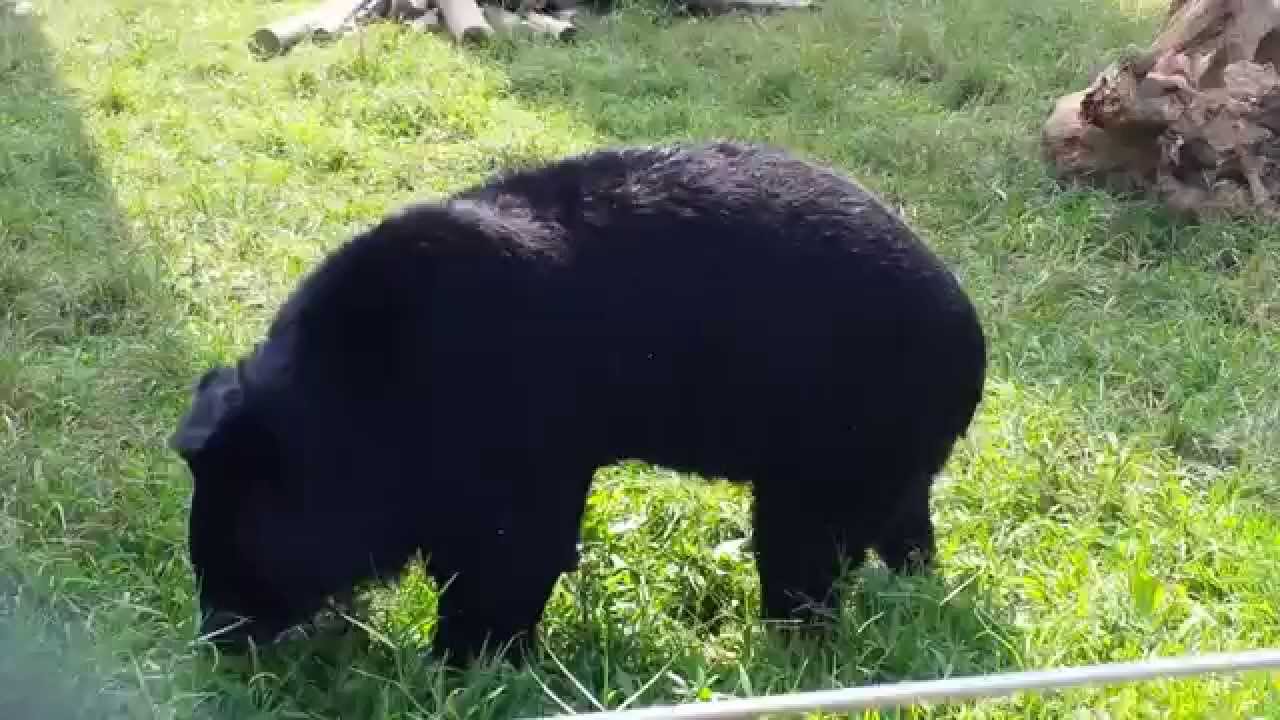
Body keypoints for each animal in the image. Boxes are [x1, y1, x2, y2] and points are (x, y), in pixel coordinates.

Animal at [169, 140, 987, 667]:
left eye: (244, 557)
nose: (218, 640)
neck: (366, 390)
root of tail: (971, 336)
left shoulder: (509, 425)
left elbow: (509, 549)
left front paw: (468, 661)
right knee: (898, 516)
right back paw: (911, 583)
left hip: (838, 427)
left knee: (804, 546)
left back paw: (796, 642)